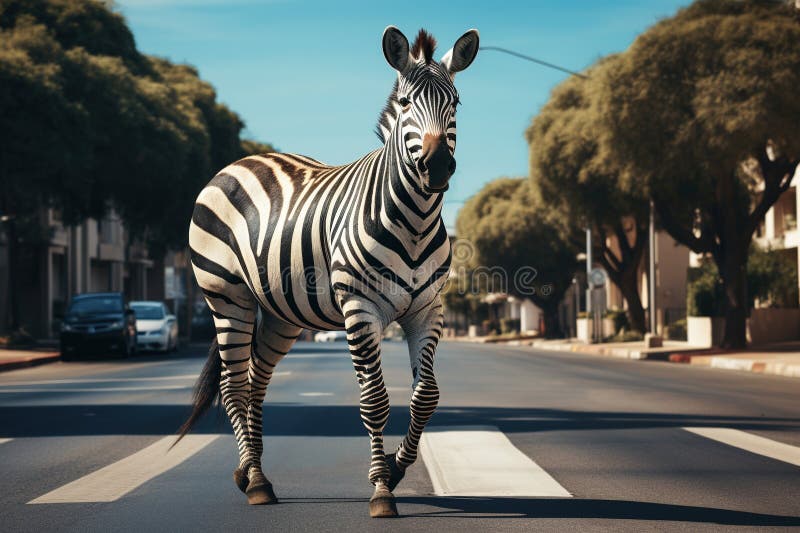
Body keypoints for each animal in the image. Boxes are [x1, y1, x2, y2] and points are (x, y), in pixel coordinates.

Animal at [176, 26, 479, 518]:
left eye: (455, 102)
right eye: (405, 103)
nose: (436, 167)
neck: (415, 221)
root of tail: (241, 161)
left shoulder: (427, 309)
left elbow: (426, 397)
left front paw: (395, 468)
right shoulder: (361, 309)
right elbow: (375, 400)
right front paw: (381, 488)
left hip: (279, 313)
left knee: (256, 381)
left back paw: (251, 472)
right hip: (227, 297)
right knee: (234, 385)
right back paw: (255, 481)